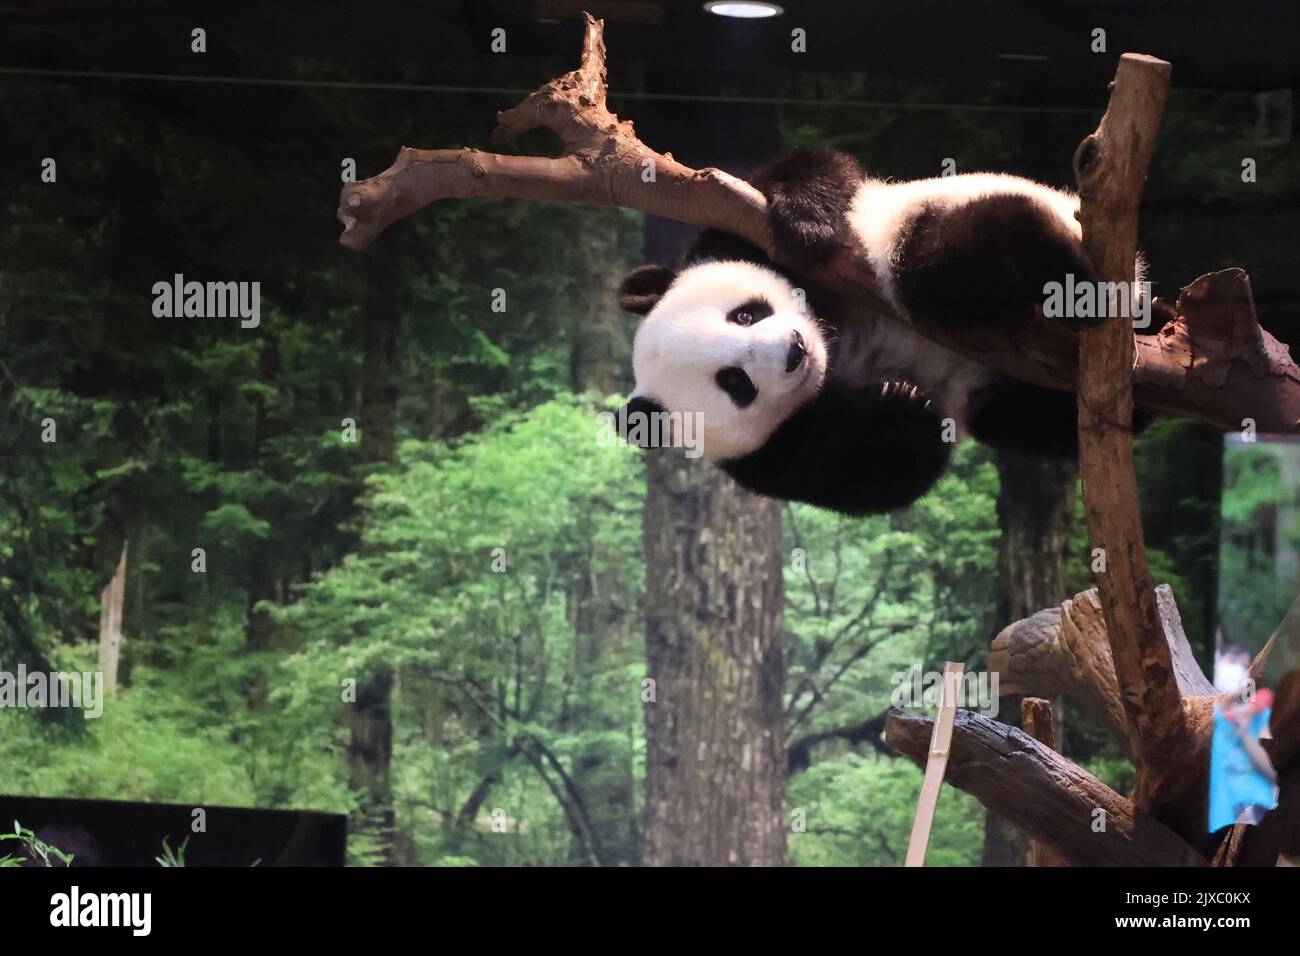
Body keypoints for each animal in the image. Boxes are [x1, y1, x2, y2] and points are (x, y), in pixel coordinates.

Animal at [614, 150, 1153, 517]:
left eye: (745, 315)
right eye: (735, 383)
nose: (794, 350)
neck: (834, 343)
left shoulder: (732, 227)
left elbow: (803, 176)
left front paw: (804, 220)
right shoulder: (772, 453)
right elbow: (879, 472)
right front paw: (906, 404)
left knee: (963, 247)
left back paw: (1082, 291)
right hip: (1004, 392)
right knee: (1028, 411)